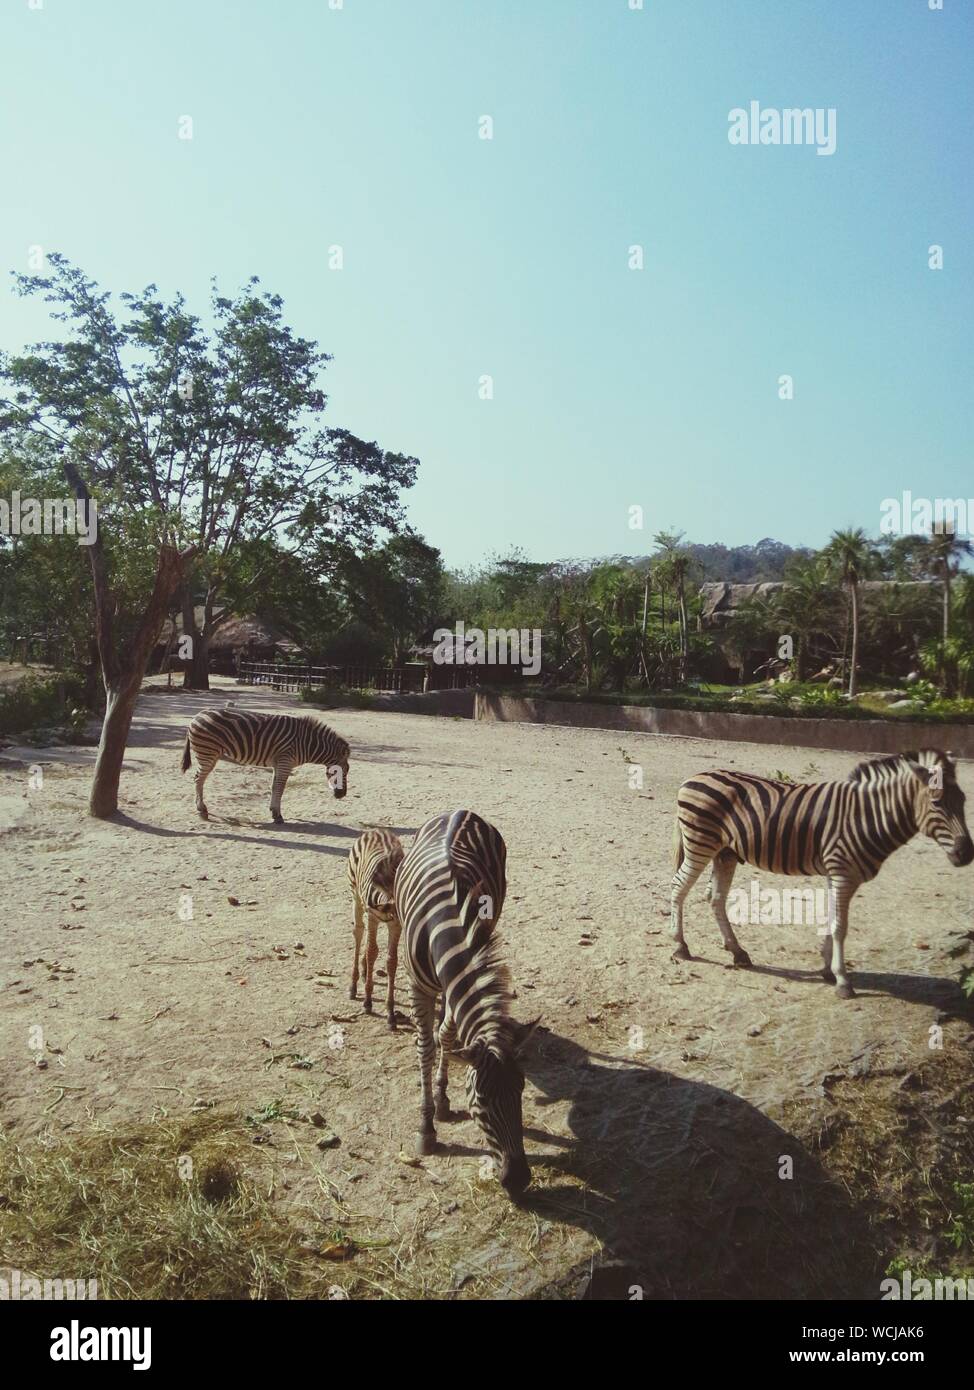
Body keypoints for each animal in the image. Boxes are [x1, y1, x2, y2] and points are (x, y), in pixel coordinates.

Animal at [181, 708, 349, 822]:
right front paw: (278, 815)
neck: (307, 743)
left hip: (209, 754)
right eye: (344, 771)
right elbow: (280, 788)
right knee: (198, 779)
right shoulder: (285, 762)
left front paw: (273, 811)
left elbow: (274, 787)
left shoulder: (279, 763)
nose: (342, 795)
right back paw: (202, 810)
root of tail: (198, 715)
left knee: (199, 779)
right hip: (208, 753)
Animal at [347, 828, 405, 1029]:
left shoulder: (395, 925)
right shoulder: (372, 916)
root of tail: (375, 830)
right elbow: (372, 951)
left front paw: (390, 1012)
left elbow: (391, 961)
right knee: (358, 933)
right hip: (356, 896)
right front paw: (368, 1001)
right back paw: (354, 985)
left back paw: (365, 971)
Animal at [395, 809, 540, 1198]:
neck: (444, 924)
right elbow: (426, 1047)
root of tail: (462, 812)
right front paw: (427, 1127)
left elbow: (446, 1036)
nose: (519, 1179)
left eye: (520, 1091)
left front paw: (443, 1101)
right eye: (484, 1101)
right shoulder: (417, 986)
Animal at [671, 748, 972, 998]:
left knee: (716, 899)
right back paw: (681, 946)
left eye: (963, 800)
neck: (868, 816)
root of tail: (693, 777)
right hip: (700, 844)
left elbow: (830, 918)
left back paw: (737, 951)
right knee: (678, 888)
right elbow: (840, 926)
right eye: (937, 803)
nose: (966, 854)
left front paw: (828, 970)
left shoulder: (836, 873)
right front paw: (843, 981)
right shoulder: (842, 872)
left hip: (725, 853)